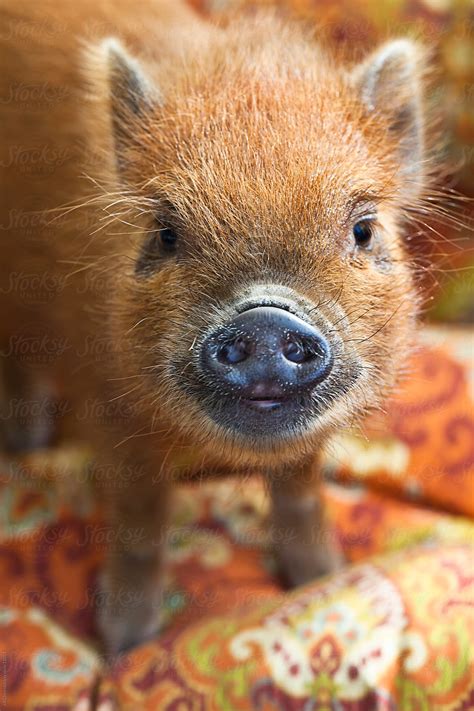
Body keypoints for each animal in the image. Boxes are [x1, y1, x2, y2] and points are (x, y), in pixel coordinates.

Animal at [0, 0, 430, 654]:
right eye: (165, 234)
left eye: (363, 229)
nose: (265, 320)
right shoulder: (114, 412)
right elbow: (140, 523)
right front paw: (124, 644)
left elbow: (301, 492)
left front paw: (322, 579)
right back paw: (23, 448)